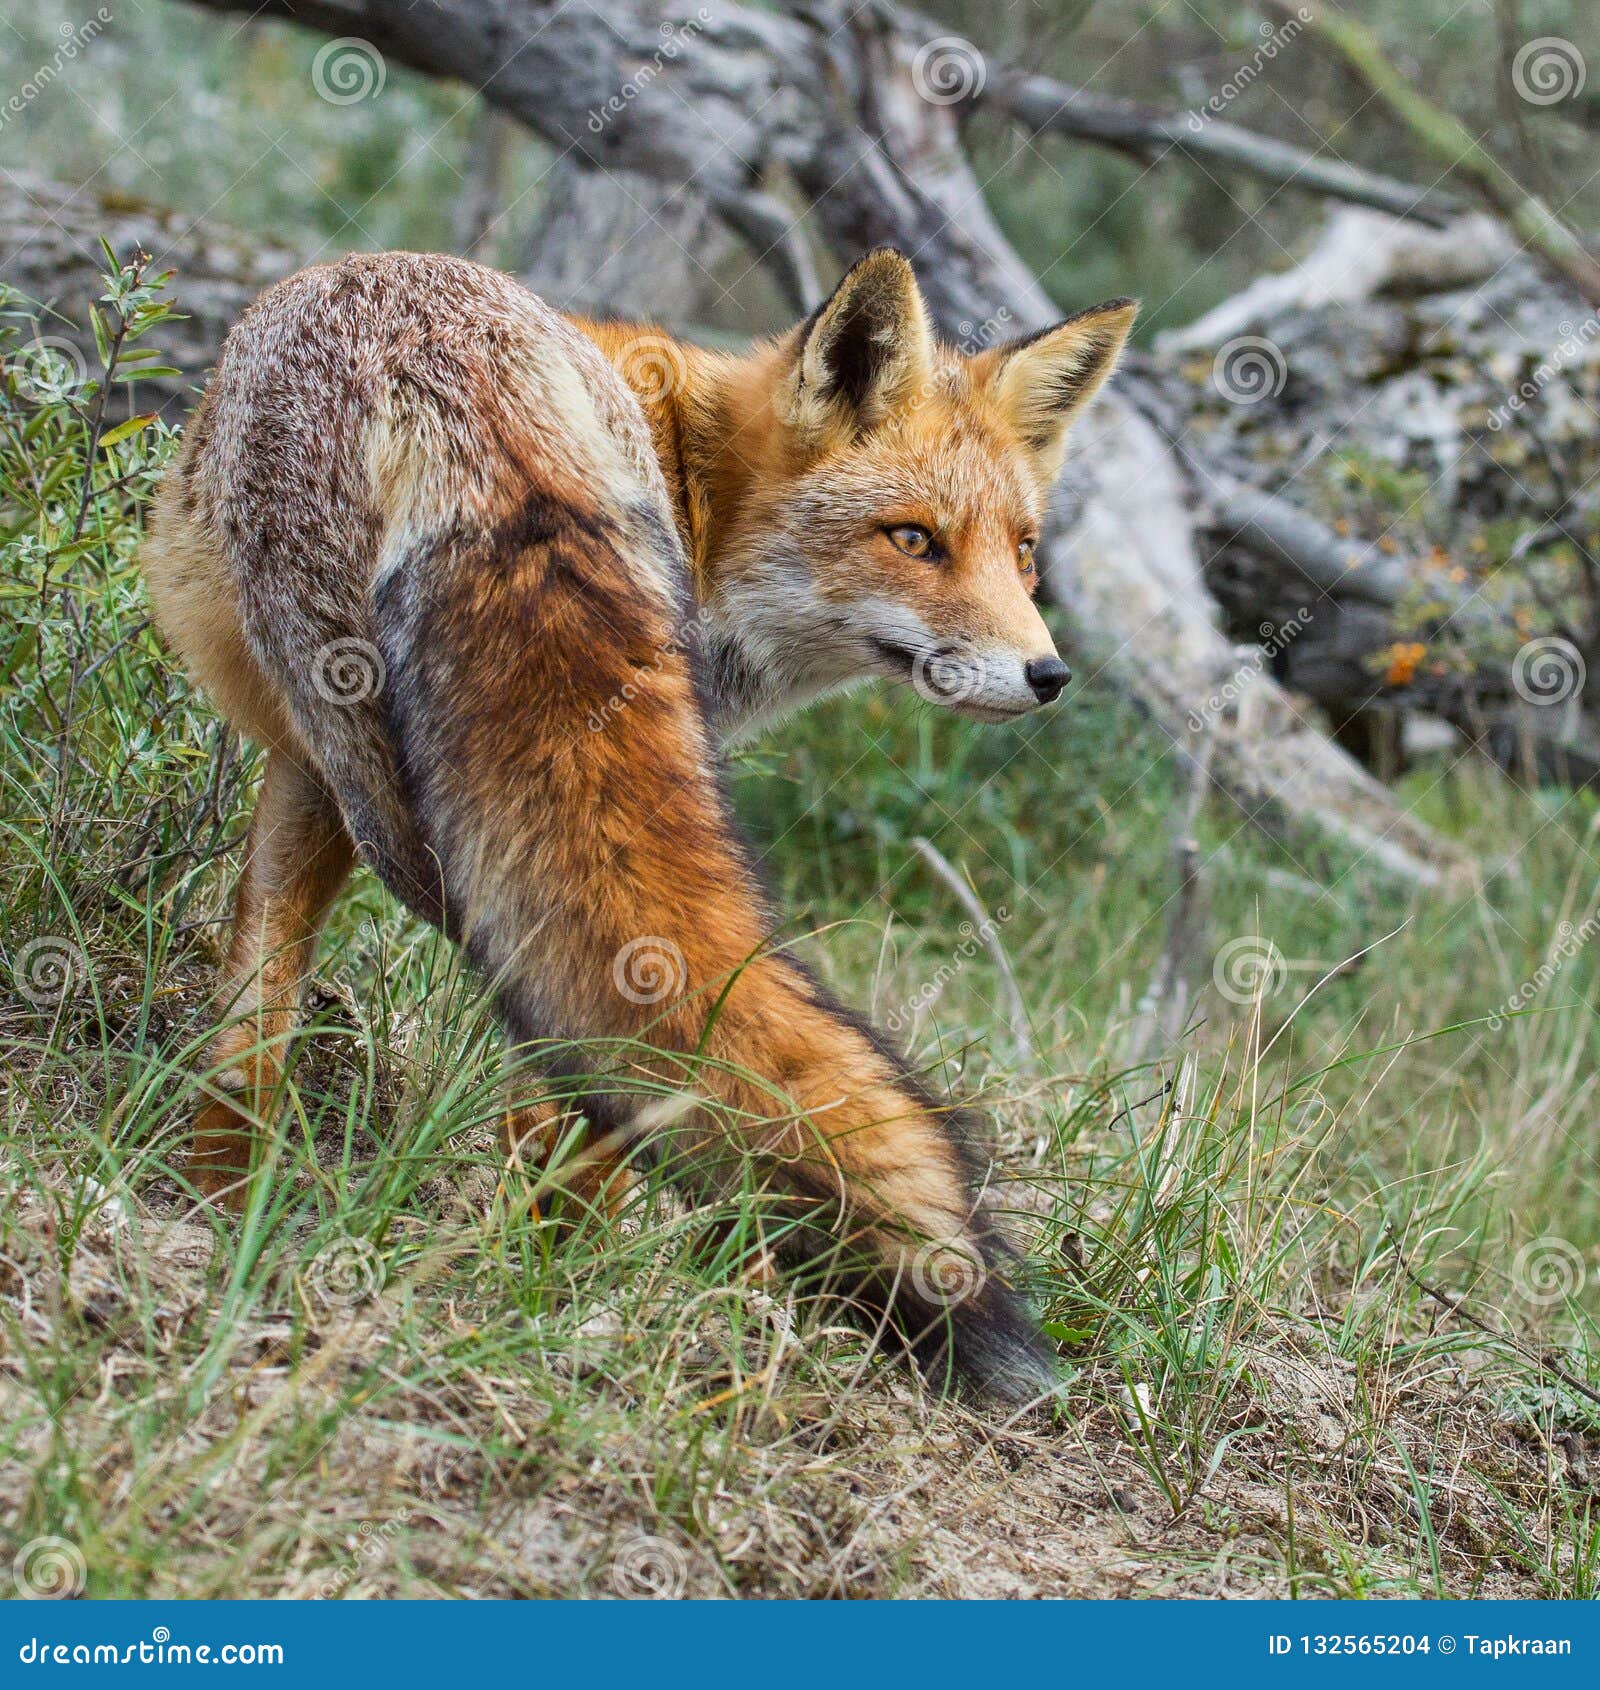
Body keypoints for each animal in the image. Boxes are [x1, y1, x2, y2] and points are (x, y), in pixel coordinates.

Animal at [143, 246, 1135, 1404]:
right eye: (913, 540)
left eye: (1021, 552)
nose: (1048, 675)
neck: (697, 489)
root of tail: (445, 366)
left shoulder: (305, 771)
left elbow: (262, 967)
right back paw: (550, 1290)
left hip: (349, 763)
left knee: (269, 1010)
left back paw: (229, 1210)